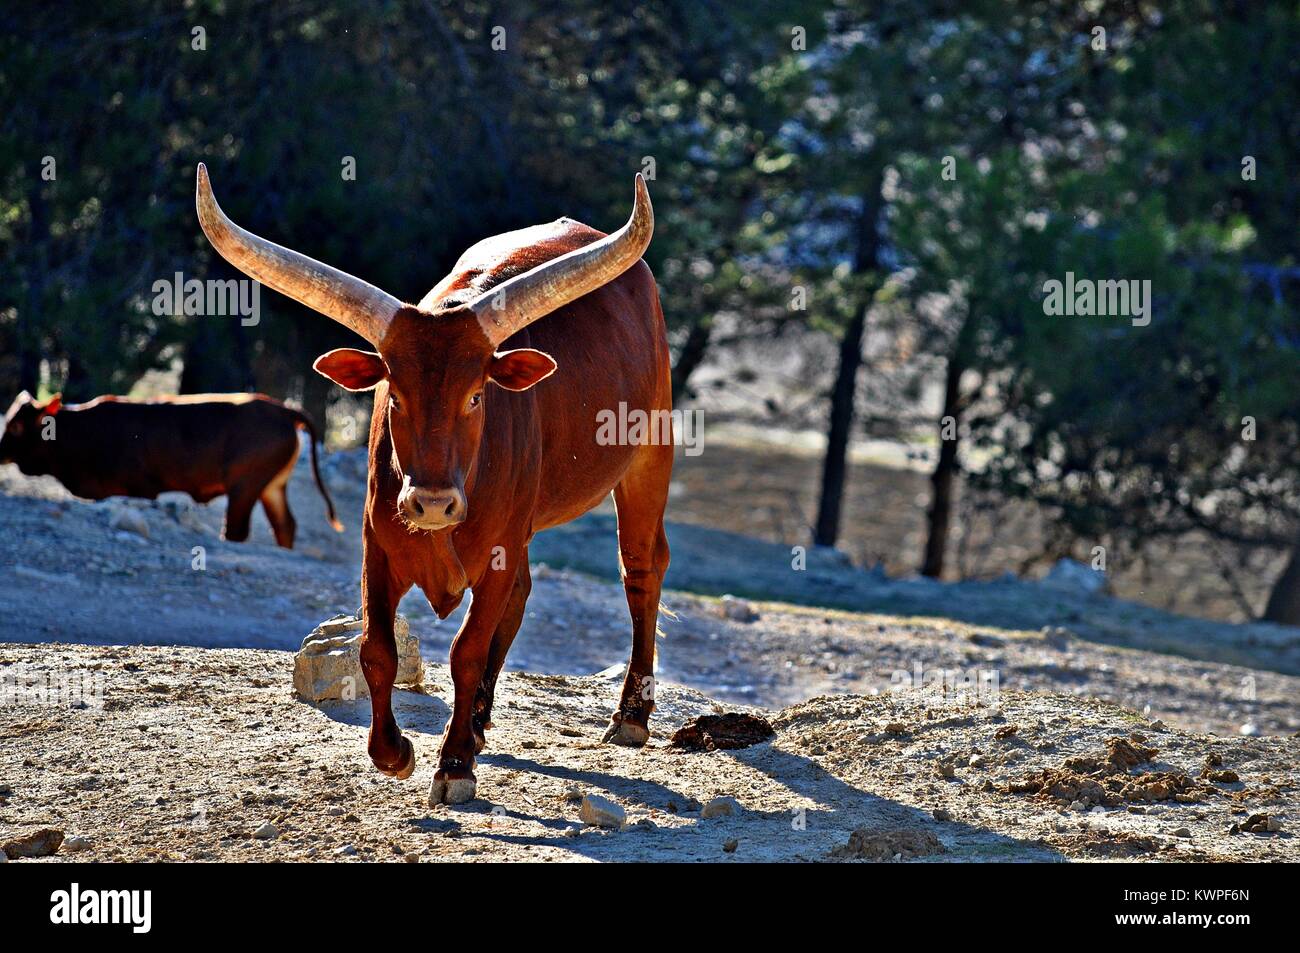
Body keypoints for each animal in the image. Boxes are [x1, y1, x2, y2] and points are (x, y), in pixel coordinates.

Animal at [0, 390, 342, 549]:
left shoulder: (133, 488)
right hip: (271, 488)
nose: (0, 452)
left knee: (236, 530)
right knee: (285, 525)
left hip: (245, 487)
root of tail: (285, 410)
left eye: (16, 426)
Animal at [196, 163, 673, 804]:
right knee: (523, 595)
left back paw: (629, 716)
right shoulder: (377, 545)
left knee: (640, 570)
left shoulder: (497, 548)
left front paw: (453, 766)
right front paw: (395, 752)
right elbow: (376, 648)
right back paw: (478, 720)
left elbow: (466, 649)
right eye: (395, 394)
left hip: (649, 455)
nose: (432, 505)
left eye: (476, 396)